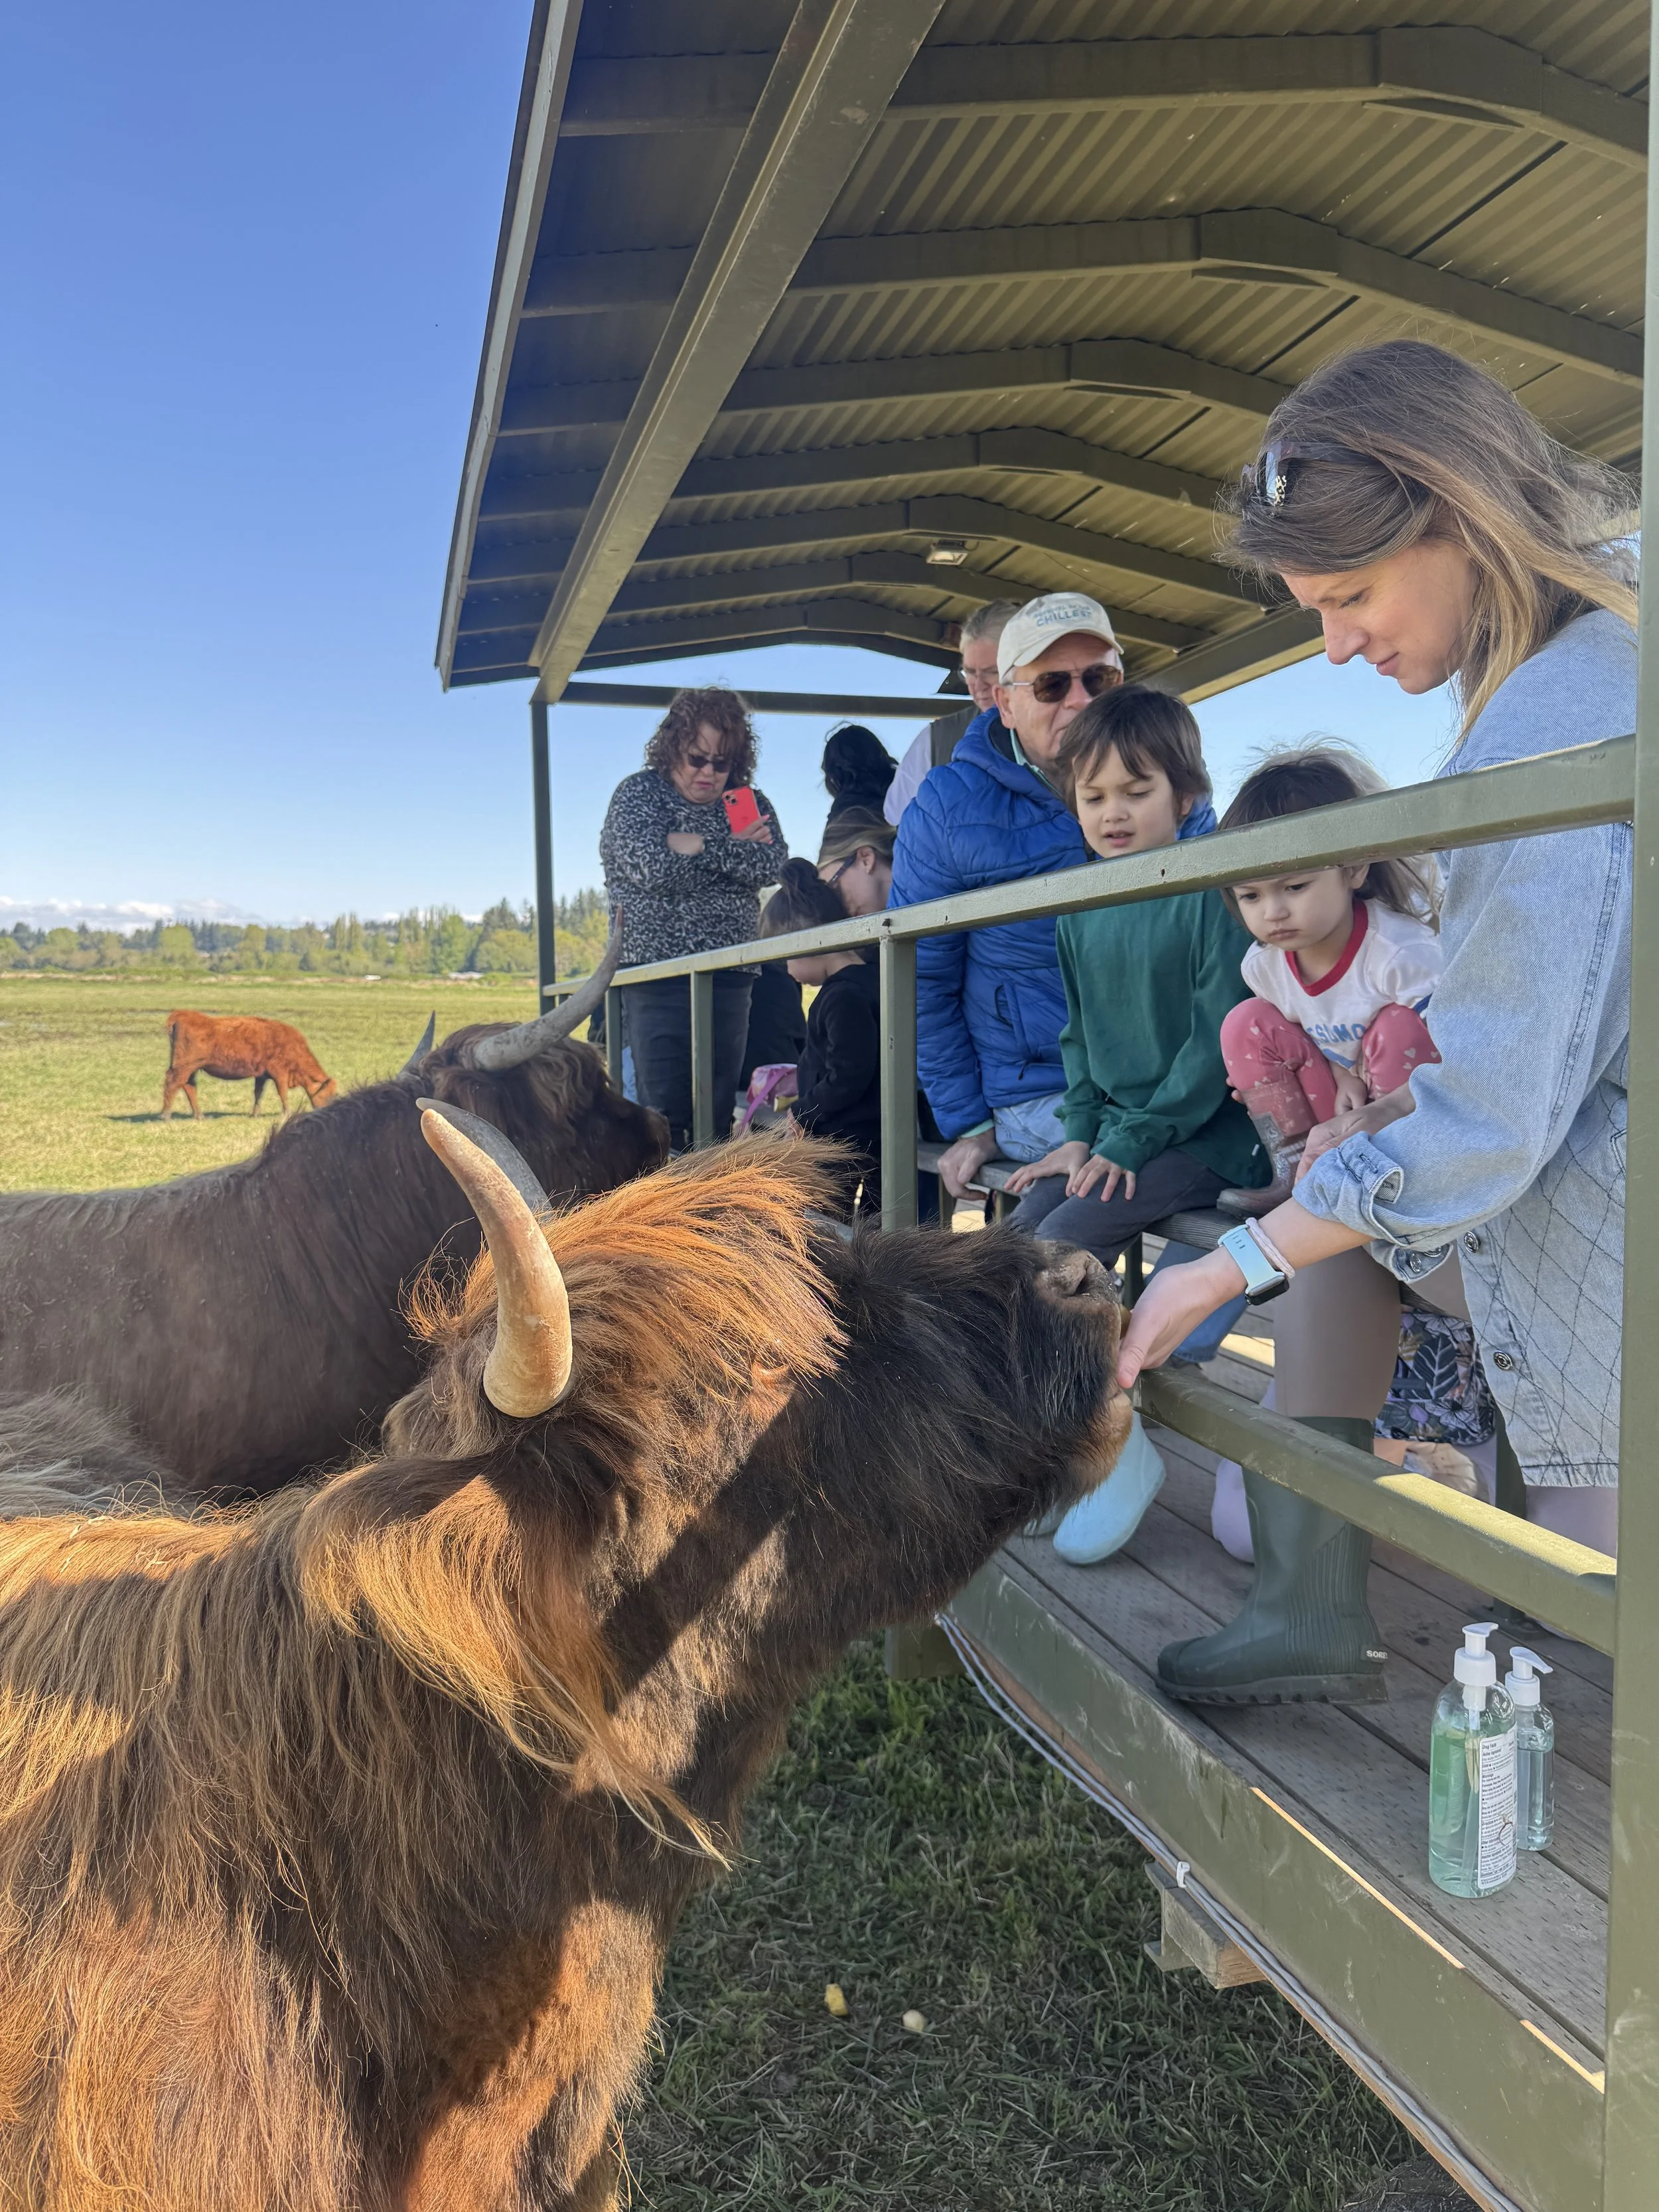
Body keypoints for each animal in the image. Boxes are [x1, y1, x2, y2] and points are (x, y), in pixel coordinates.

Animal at [162, 1010, 338, 1117]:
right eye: (329, 1094)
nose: (329, 1112)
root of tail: (182, 1015)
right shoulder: (279, 1074)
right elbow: (283, 1093)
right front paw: (287, 1113)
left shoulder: (262, 1076)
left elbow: (258, 1093)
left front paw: (254, 1114)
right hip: (183, 1066)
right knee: (173, 1083)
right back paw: (166, 1115)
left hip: (191, 1068)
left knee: (188, 1086)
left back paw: (200, 1116)